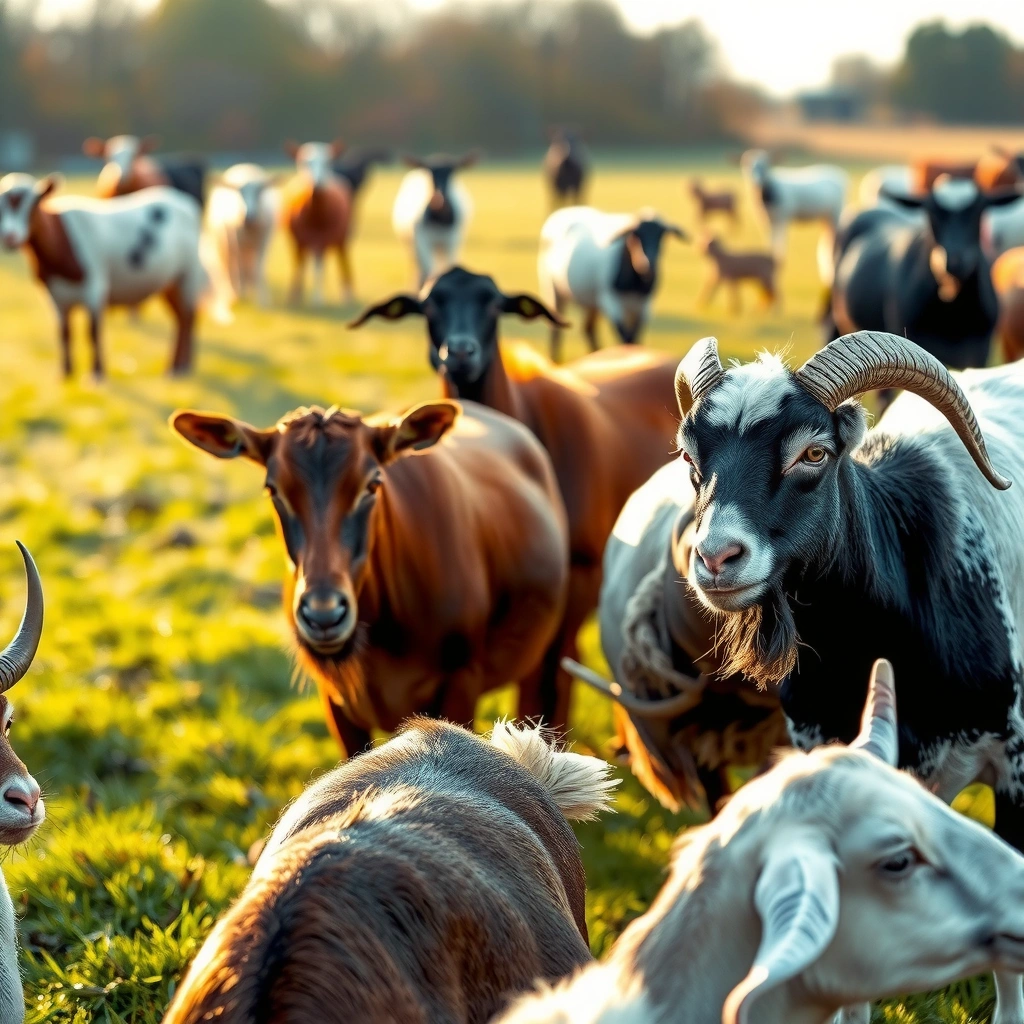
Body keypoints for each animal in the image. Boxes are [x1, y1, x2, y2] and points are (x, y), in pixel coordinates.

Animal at [0, 173, 205, 378]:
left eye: (34, 203)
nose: (10, 237)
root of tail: (185, 202)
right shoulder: (54, 296)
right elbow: (64, 332)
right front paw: (66, 373)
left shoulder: (95, 286)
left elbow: (93, 331)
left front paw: (97, 372)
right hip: (169, 282)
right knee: (180, 318)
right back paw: (177, 365)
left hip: (188, 273)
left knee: (188, 317)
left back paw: (181, 367)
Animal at [204, 163, 278, 310]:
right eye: (239, 193)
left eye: (259, 192)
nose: (248, 216)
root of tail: (245, 166)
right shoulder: (235, 240)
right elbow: (237, 267)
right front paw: (239, 295)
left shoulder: (263, 242)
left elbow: (258, 268)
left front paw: (262, 300)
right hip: (225, 243)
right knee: (231, 266)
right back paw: (234, 292)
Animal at [392, 152, 478, 287]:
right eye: (429, 172)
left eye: (452, 171)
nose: (437, 199)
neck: (439, 221)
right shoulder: (421, 238)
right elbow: (427, 272)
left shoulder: (452, 239)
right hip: (411, 244)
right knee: (418, 267)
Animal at [538, 206, 686, 362]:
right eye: (635, 235)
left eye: (661, 236)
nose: (647, 265)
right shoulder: (610, 300)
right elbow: (625, 338)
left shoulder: (644, 305)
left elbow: (635, 338)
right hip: (551, 287)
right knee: (555, 329)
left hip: (592, 300)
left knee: (588, 328)